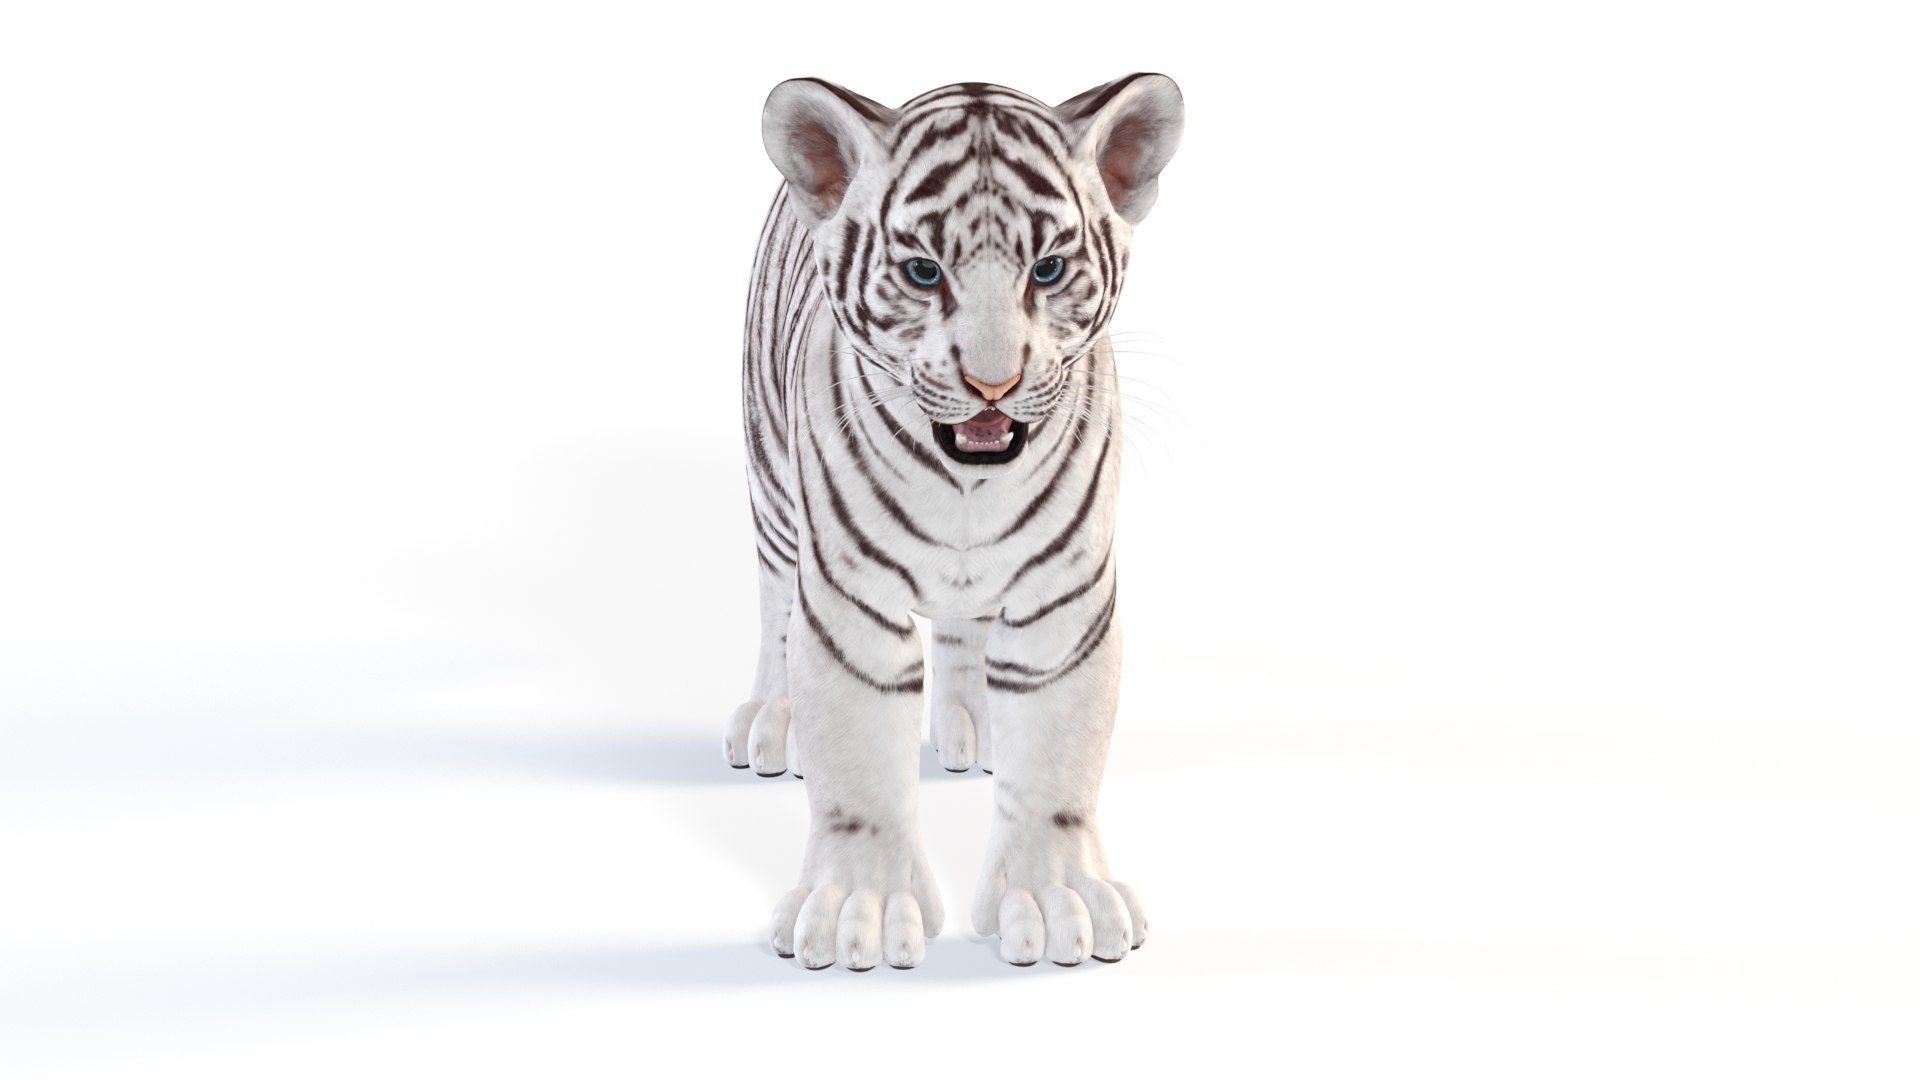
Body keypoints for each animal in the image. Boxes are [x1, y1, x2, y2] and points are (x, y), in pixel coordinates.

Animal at [721, 74, 1183, 969]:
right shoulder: (851, 605)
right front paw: (857, 909)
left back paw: (974, 725)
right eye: (922, 272)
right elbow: (858, 763)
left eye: (1048, 269)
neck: (969, 486)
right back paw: (773, 720)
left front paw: (1057, 899)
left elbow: (1059, 759)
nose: (992, 385)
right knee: (773, 604)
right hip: (774, 486)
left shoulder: (1064, 603)